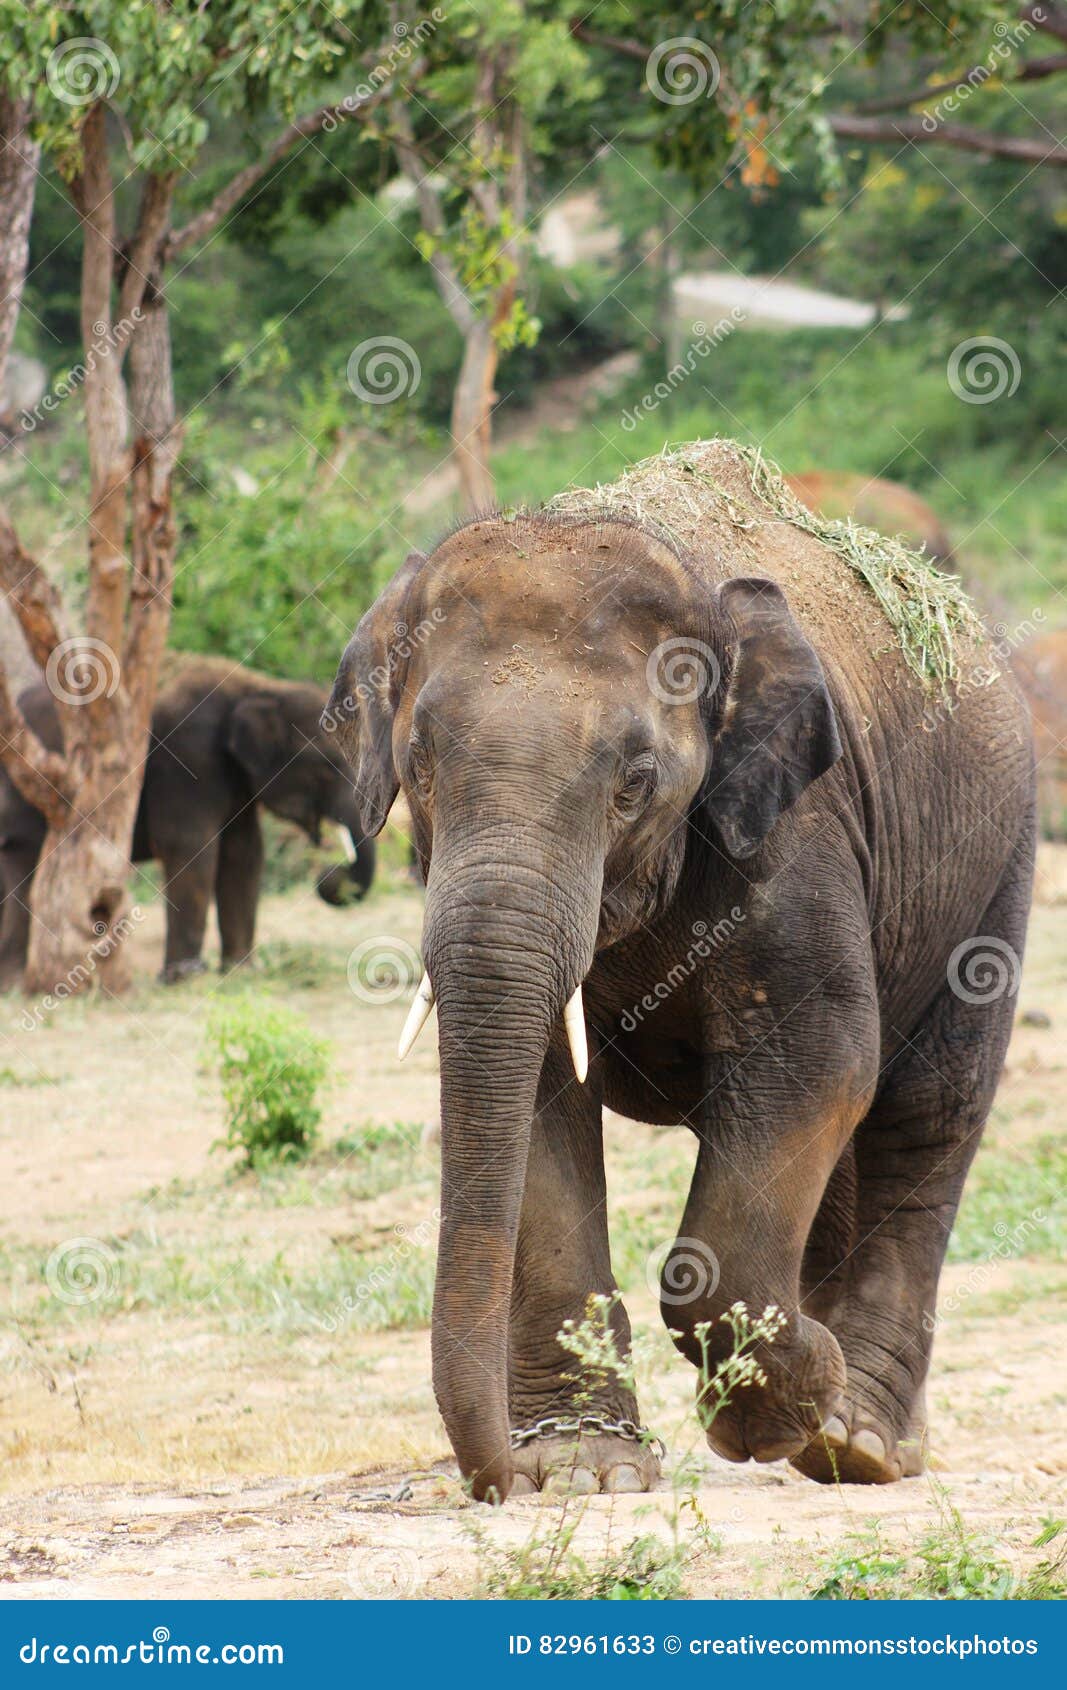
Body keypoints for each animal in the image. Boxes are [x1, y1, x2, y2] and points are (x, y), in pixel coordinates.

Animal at [0, 654, 375, 987]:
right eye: (327, 765)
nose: (329, 872)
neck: (259, 687)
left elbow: (244, 854)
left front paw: (240, 971)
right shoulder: (189, 759)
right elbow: (191, 850)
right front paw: (181, 979)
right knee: (24, 862)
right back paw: (17, 981)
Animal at [327, 440, 1034, 1504]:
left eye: (633, 783)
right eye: (420, 767)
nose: (499, 1479)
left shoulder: (795, 831)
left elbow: (816, 1062)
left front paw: (784, 1403)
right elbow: (541, 1098)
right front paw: (585, 1472)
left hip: (997, 864)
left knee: (925, 1112)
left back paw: (858, 1441)